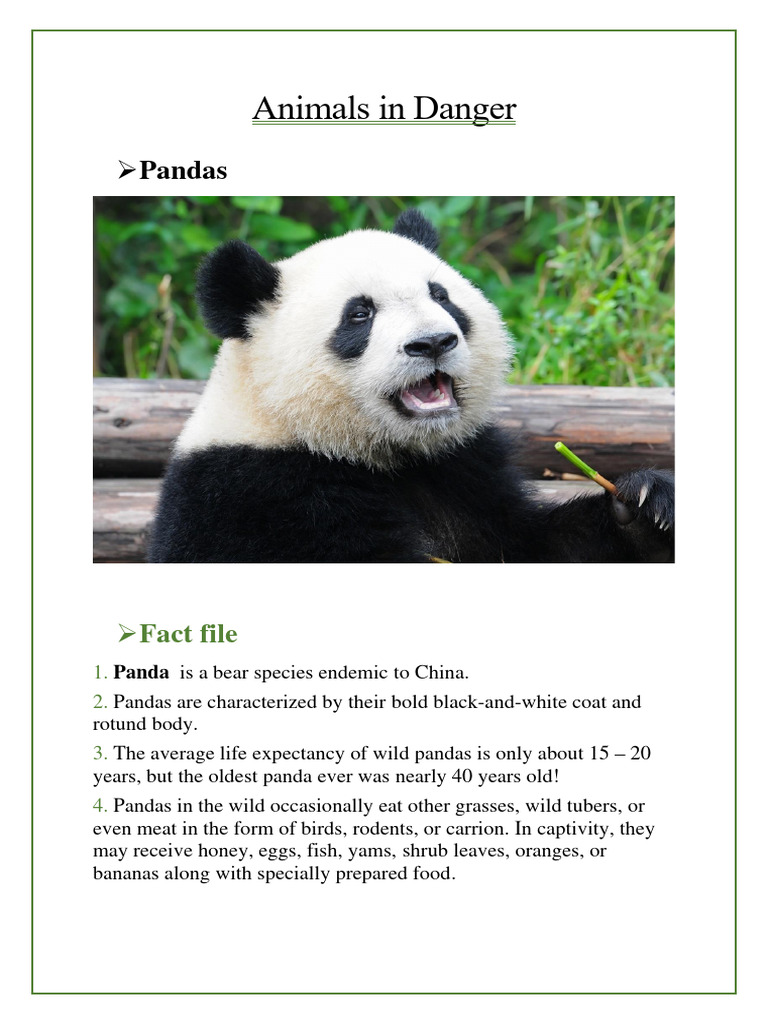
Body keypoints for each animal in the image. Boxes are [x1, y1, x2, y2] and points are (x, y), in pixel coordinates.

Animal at [148, 210, 674, 563]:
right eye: (359, 314)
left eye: (440, 296)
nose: (433, 342)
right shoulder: (258, 496)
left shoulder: (465, 470)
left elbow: (537, 543)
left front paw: (646, 503)